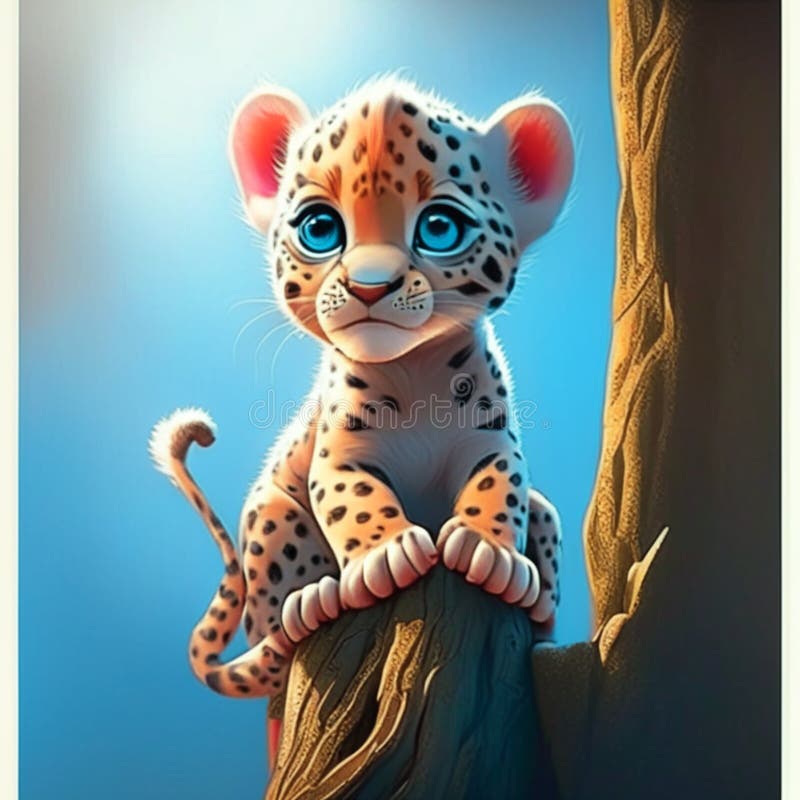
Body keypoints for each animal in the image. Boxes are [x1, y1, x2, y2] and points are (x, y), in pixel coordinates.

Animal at [150, 77, 573, 701]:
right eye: (320, 228)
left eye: (439, 227)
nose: (370, 286)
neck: (417, 373)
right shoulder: (340, 452)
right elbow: (354, 497)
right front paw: (389, 553)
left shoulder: (491, 440)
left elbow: (498, 488)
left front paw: (487, 550)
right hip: (270, 514)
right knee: (277, 629)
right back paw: (313, 603)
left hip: (546, 513)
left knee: (541, 517)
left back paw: (538, 603)